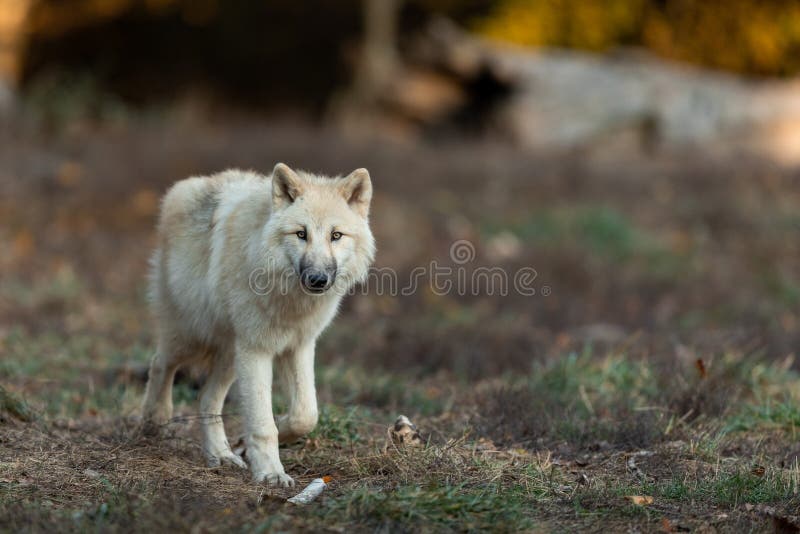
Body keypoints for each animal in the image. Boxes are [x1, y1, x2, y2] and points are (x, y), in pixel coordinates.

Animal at [140, 163, 375, 486]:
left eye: (336, 235)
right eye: (301, 234)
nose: (317, 279)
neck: (289, 300)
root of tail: (184, 187)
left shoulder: (299, 346)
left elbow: (305, 415)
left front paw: (246, 445)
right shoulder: (257, 349)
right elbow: (264, 424)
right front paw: (271, 474)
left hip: (230, 354)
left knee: (205, 397)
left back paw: (221, 454)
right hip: (192, 336)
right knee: (160, 362)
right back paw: (155, 418)